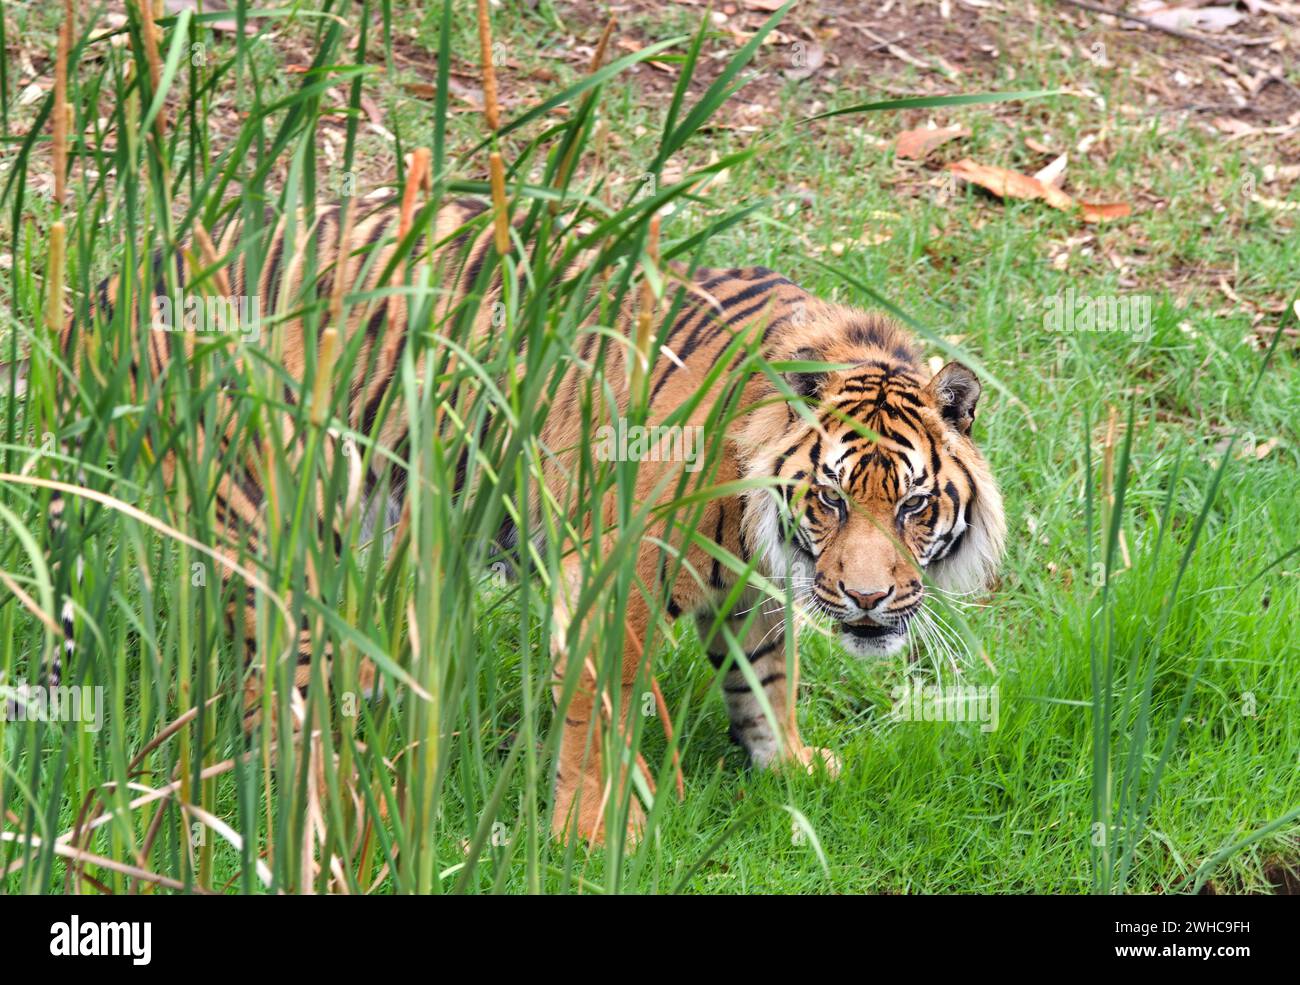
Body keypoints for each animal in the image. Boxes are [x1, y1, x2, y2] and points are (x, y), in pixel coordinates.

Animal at [41, 192, 1006, 846]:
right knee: (271, 689)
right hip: (277, 514)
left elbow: (767, 676)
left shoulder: (754, 582)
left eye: (914, 504)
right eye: (831, 499)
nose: (871, 602)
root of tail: (137, 271)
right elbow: (596, 700)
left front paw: (791, 765)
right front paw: (593, 827)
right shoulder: (614, 567)